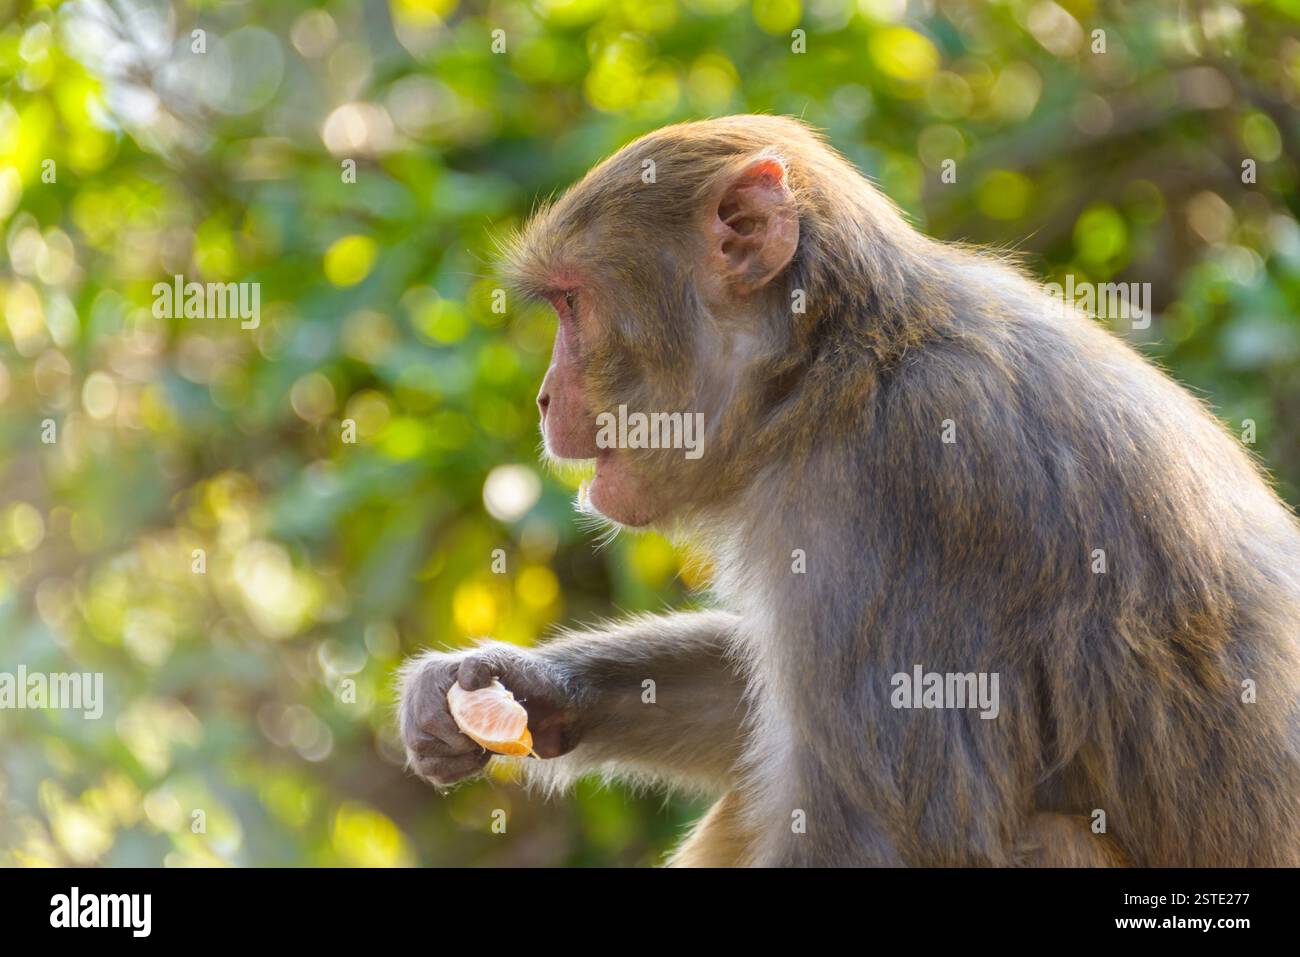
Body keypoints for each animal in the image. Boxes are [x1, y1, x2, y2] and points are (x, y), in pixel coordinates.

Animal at [399, 115, 1300, 867]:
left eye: (571, 303)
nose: (544, 397)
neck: (837, 374)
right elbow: (756, 704)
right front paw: (513, 687)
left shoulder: (910, 482)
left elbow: (879, 837)